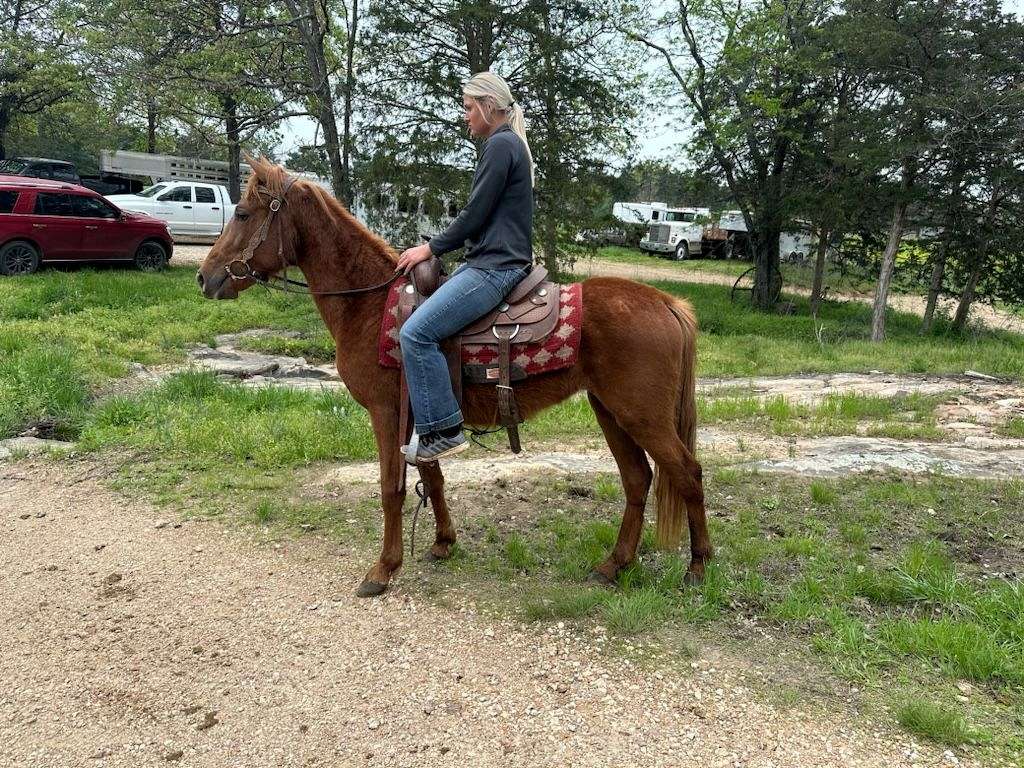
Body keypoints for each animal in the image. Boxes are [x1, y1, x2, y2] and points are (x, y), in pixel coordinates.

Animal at [196, 157, 710, 597]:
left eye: (242, 212)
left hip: (642, 416)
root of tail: (668, 304)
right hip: (611, 412)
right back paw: (614, 565)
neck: (369, 303)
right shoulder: (419, 414)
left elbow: (391, 488)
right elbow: (433, 476)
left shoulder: (386, 413)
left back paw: (697, 567)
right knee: (638, 480)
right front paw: (443, 542)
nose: (205, 276)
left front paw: (383, 569)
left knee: (687, 473)